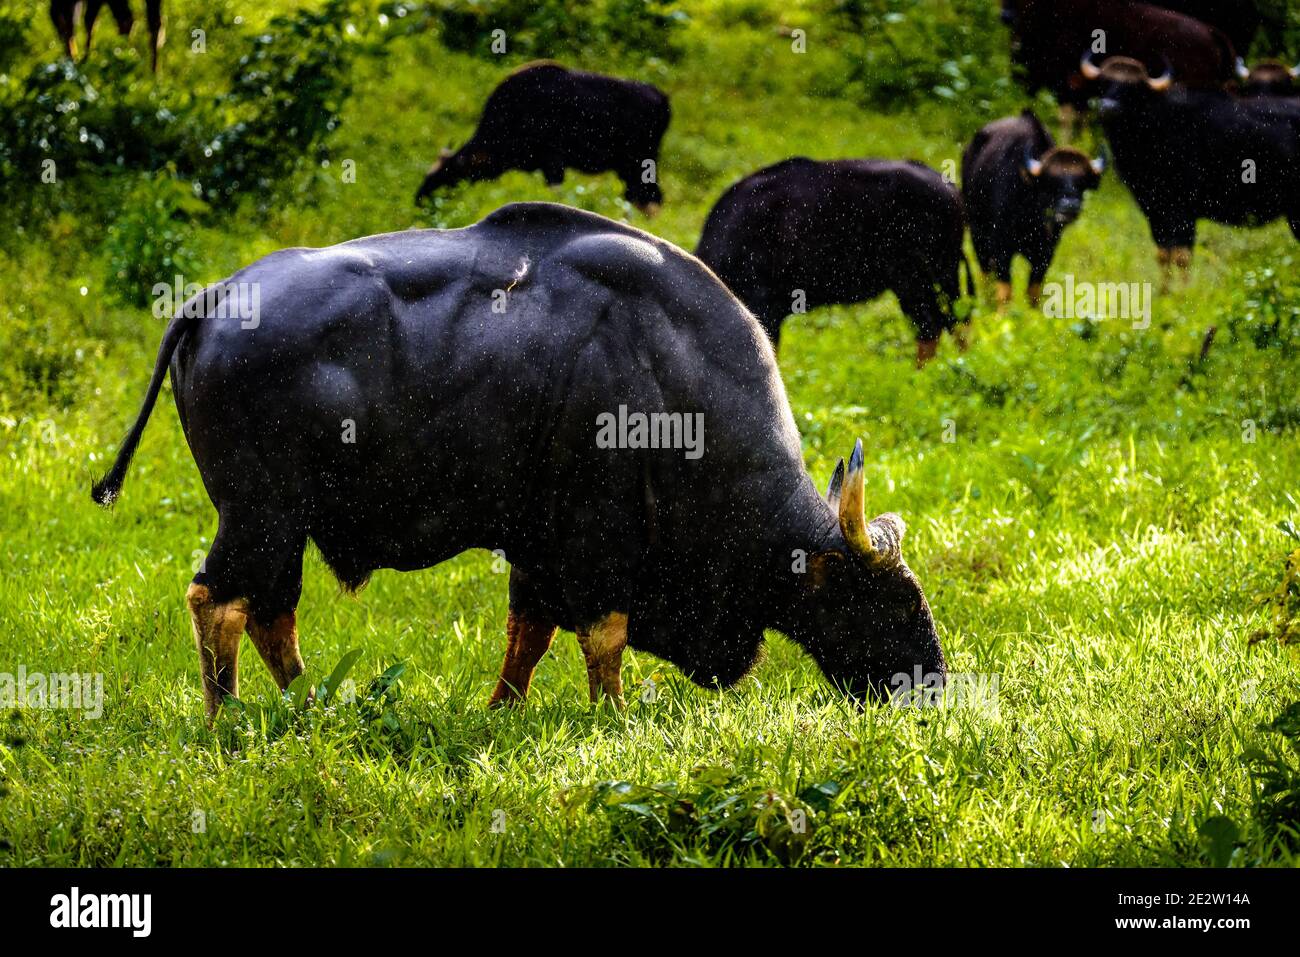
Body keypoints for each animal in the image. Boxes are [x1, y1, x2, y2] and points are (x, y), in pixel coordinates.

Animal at [92, 203, 945, 719]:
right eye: (889, 600)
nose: (931, 685)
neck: (672, 369)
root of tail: (211, 299)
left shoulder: (540, 543)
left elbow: (527, 633)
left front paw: (501, 710)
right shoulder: (598, 541)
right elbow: (604, 634)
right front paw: (614, 718)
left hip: (283, 522)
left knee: (270, 610)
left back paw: (318, 704)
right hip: (260, 511)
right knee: (219, 600)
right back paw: (227, 718)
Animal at [414, 62, 671, 214]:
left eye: (446, 175)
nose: (418, 200)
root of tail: (661, 97)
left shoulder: (553, 162)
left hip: (639, 163)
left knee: (650, 198)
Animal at [695, 158, 971, 367]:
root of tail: (951, 189)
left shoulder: (764, 307)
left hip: (917, 278)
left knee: (932, 325)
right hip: (939, 276)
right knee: (954, 321)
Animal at [962, 110, 1105, 308]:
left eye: (1081, 182)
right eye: (1051, 182)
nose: (1069, 205)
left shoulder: (1045, 253)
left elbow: (1034, 292)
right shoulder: (1001, 246)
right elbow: (1005, 291)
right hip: (977, 232)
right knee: (985, 274)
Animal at [1087, 55, 1300, 274]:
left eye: (1134, 88)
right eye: (1104, 82)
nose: (1108, 107)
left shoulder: (1183, 212)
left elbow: (1182, 256)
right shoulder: (1155, 211)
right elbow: (1163, 256)